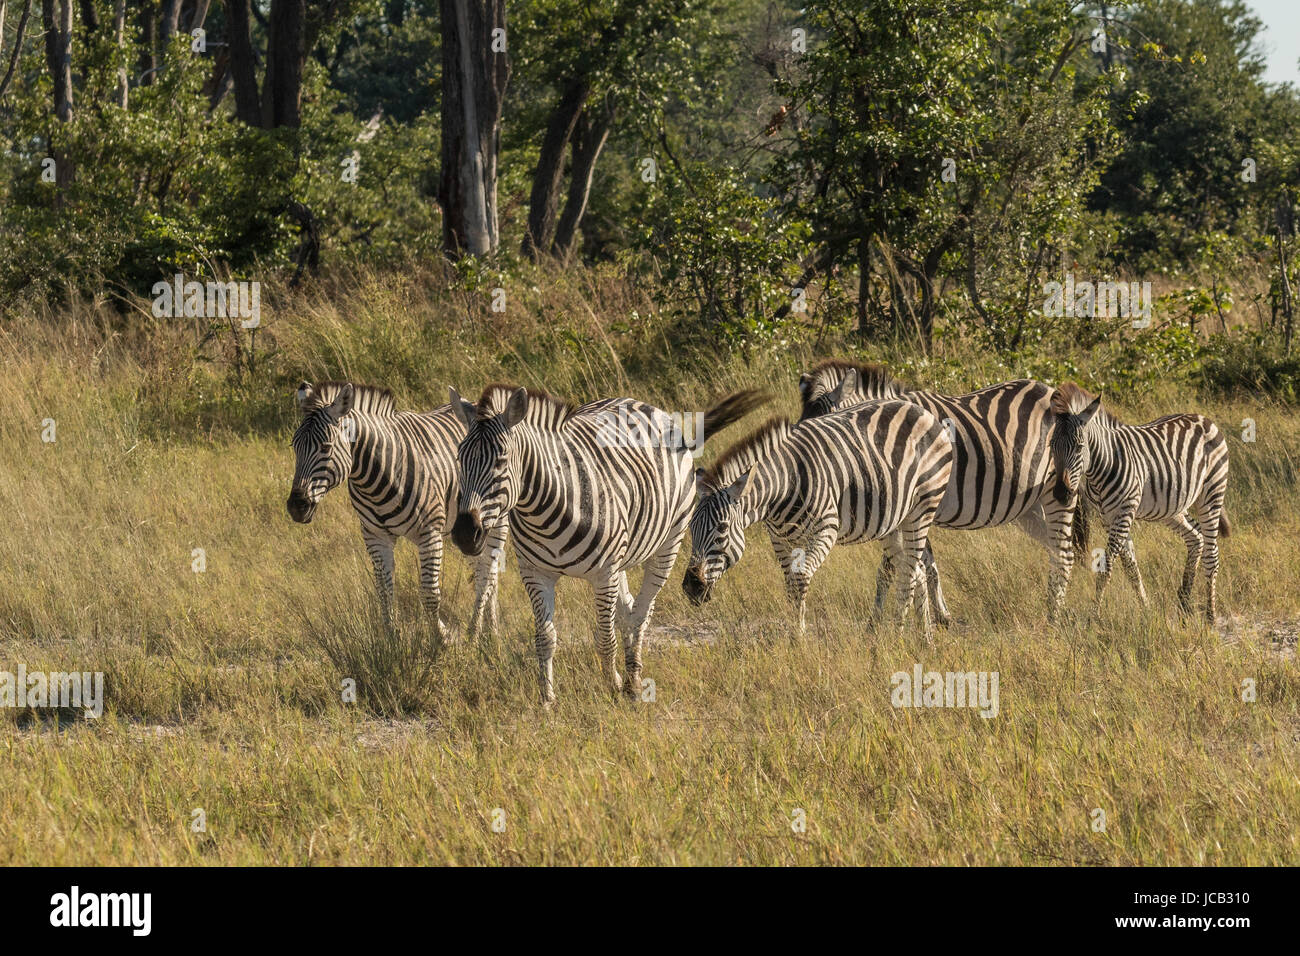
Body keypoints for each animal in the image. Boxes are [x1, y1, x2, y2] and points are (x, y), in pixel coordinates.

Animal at [287, 381, 507, 637]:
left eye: (325, 447)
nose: (296, 506)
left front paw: (442, 638)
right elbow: (384, 592)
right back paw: (489, 630)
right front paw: (391, 638)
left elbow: (430, 595)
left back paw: (481, 632)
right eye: (294, 446)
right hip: (469, 533)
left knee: (488, 574)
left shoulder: (429, 535)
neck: (378, 476)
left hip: (493, 520)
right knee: (485, 571)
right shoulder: (375, 536)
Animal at [447, 384, 769, 704]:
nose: (464, 533)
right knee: (627, 611)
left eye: (501, 460)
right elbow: (545, 638)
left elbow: (605, 638)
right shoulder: (535, 573)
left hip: (668, 545)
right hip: (622, 560)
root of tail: (642, 404)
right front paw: (547, 698)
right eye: (459, 458)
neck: (544, 505)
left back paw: (632, 681)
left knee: (641, 614)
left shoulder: (604, 574)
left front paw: (612, 684)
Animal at [682, 400, 954, 639]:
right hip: (893, 521)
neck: (784, 484)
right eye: (691, 529)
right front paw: (795, 636)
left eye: (722, 528)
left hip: (922, 509)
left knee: (908, 571)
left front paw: (799, 638)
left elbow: (801, 579)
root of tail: (922, 411)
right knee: (917, 570)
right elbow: (790, 584)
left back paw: (898, 636)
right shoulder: (779, 538)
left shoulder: (825, 529)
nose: (691, 587)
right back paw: (925, 638)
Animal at [798, 360, 1088, 622]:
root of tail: (1052, 391)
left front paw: (878, 620)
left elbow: (892, 567)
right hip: (1029, 506)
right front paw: (939, 614)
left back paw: (1054, 618)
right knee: (1056, 550)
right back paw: (1054, 607)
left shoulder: (912, 504)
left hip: (1058, 492)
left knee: (1064, 553)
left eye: (822, 440)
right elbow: (925, 562)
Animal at [1049, 382, 1230, 622]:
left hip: (1212, 494)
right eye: (1051, 446)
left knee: (1212, 555)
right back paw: (1184, 603)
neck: (1102, 465)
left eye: (1079, 447)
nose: (1061, 494)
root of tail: (1204, 418)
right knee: (1196, 538)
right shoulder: (1109, 517)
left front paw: (1094, 616)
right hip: (1172, 507)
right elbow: (1130, 567)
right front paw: (1146, 608)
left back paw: (1210, 613)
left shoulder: (1124, 512)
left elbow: (1107, 566)